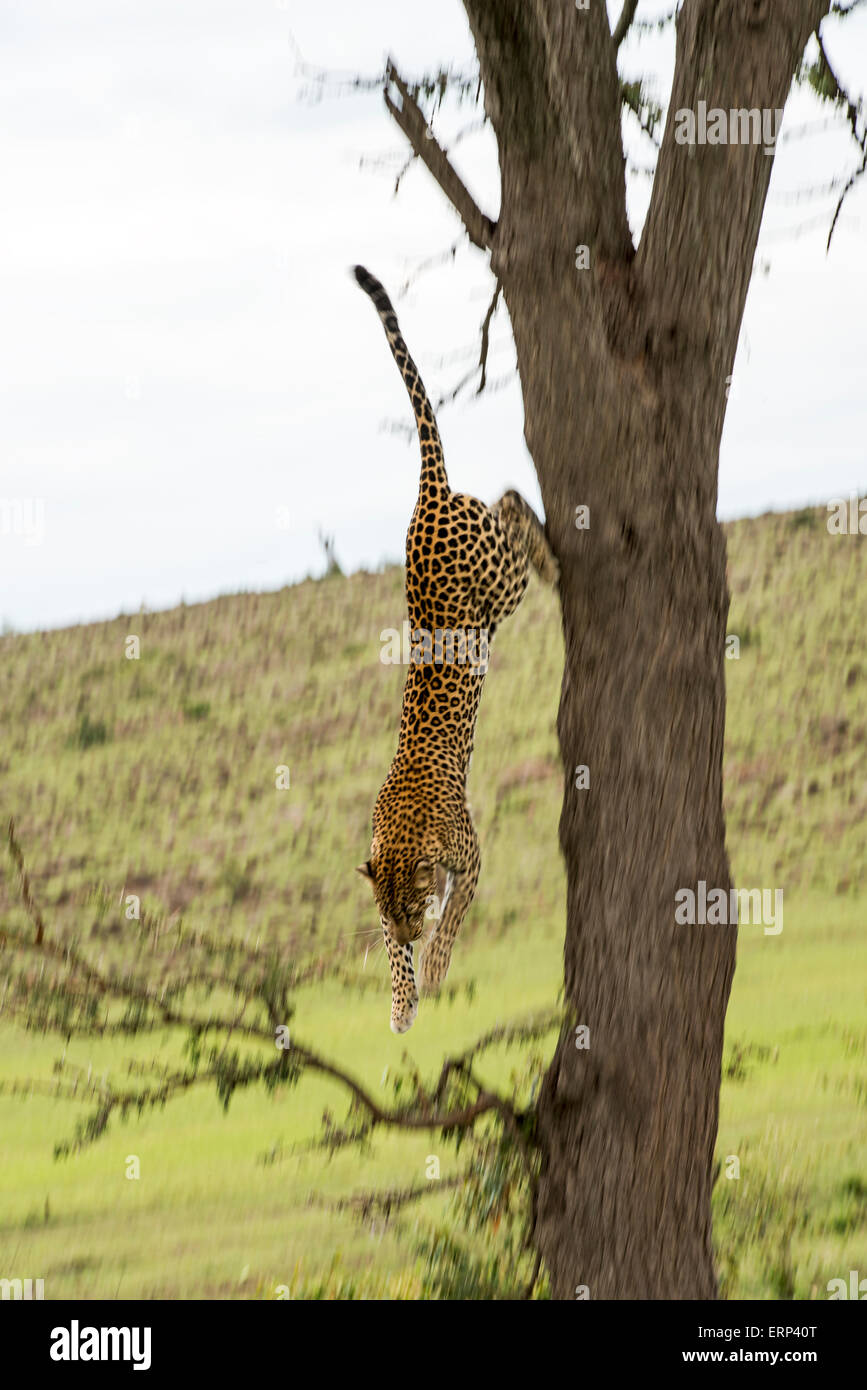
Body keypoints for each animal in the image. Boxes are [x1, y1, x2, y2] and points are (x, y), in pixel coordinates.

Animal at [352, 265, 559, 1033]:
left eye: (414, 905)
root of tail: (427, 498)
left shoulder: (471, 861)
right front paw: (401, 1003)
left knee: (513, 501)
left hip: (499, 585)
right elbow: (393, 965)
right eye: (391, 915)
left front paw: (436, 967)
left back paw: (555, 559)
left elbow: (459, 915)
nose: (408, 927)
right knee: (506, 497)